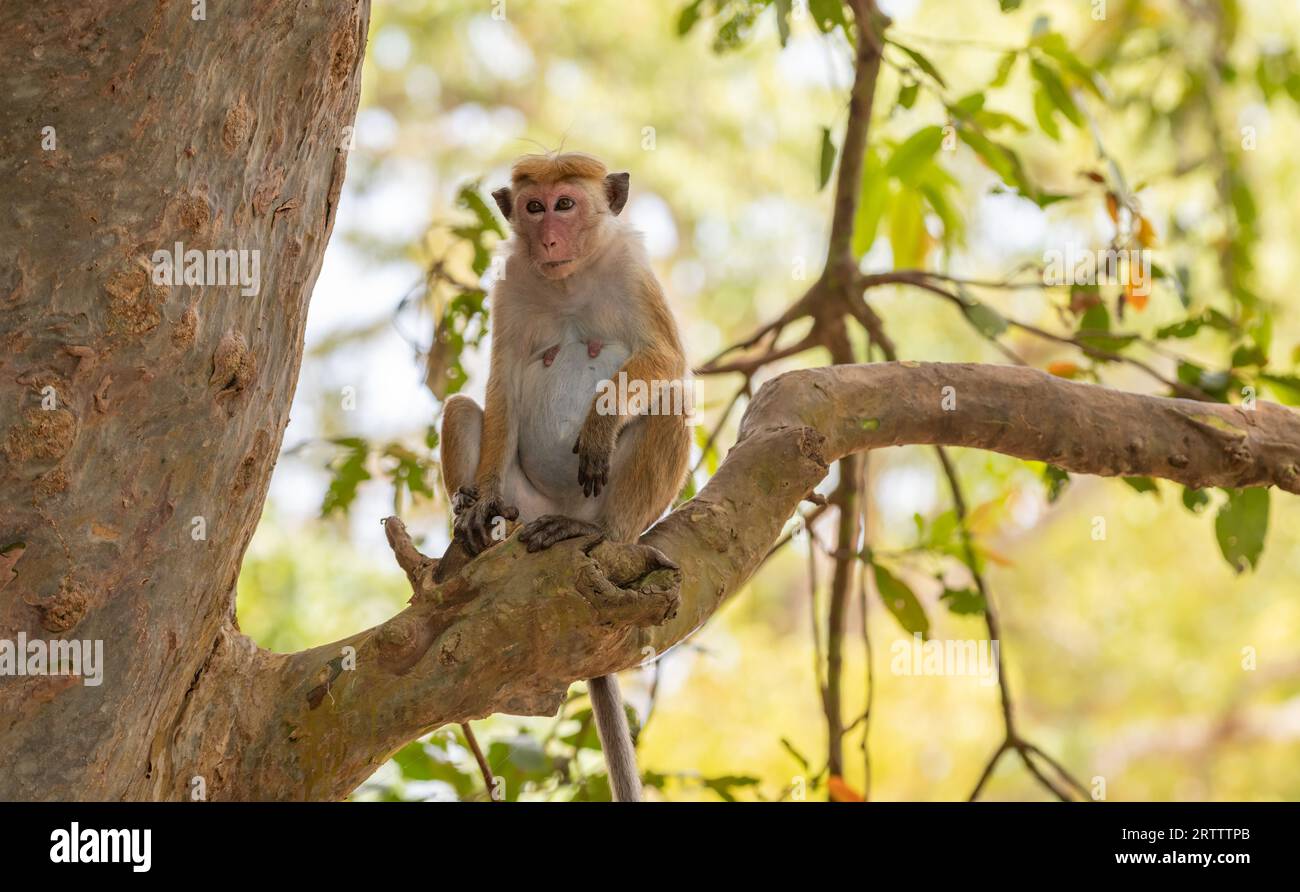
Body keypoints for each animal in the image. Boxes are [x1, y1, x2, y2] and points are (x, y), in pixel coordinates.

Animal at [438, 152, 692, 802]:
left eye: (566, 204)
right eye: (534, 207)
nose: (550, 238)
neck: (568, 280)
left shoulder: (633, 273)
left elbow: (668, 362)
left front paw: (601, 421)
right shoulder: (510, 287)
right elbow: (499, 386)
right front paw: (478, 505)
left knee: (671, 403)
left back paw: (602, 537)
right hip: (524, 504)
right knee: (463, 410)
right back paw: (476, 532)